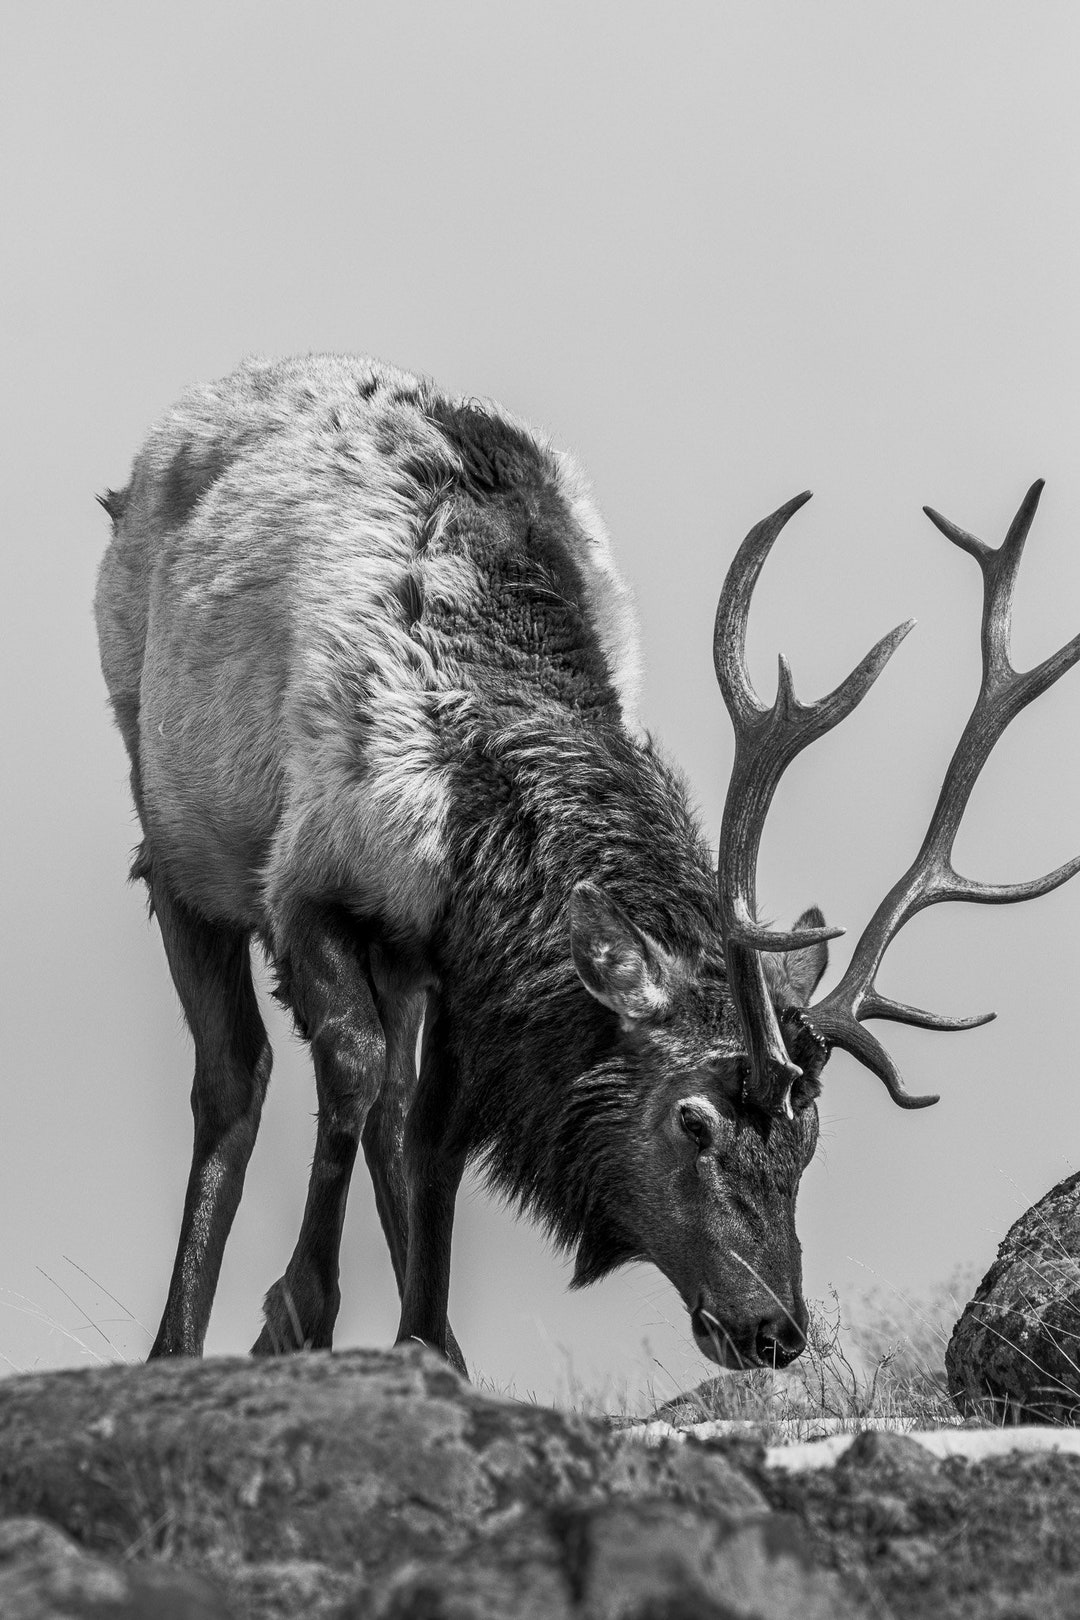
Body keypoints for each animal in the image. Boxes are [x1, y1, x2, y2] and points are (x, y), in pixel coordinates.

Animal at [94, 354, 1080, 1377]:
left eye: (809, 1138)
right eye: (692, 1118)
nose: (774, 1329)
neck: (470, 816)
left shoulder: (466, 964)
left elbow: (434, 1133)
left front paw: (429, 1342)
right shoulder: (309, 880)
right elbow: (354, 1076)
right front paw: (296, 1316)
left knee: (389, 1107)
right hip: (175, 830)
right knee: (234, 1073)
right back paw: (175, 1341)